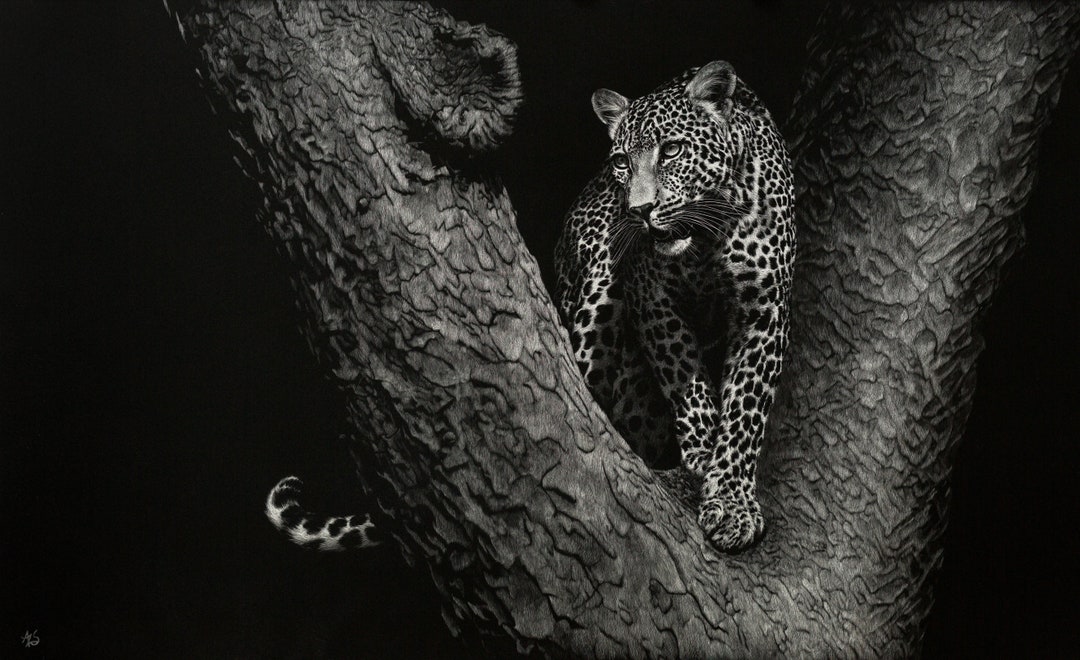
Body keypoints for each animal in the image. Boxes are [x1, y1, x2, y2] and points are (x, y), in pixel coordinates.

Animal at [554, 60, 795, 552]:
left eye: (672, 150)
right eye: (622, 162)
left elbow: (747, 408)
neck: (706, 238)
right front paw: (702, 449)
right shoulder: (651, 297)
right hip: (598, 290)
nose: (640, 210)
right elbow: (684, 374)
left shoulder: (765, 307)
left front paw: (733, 501)